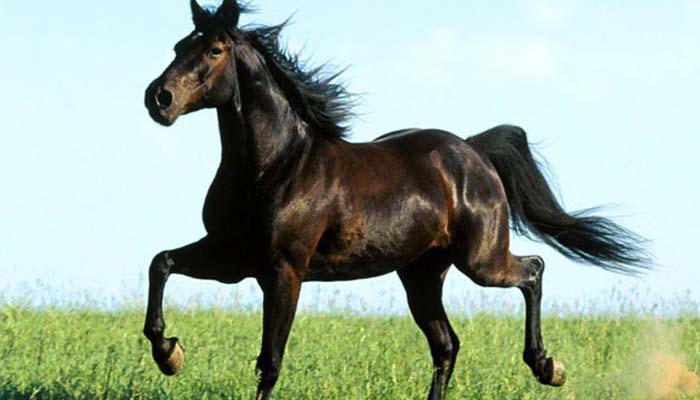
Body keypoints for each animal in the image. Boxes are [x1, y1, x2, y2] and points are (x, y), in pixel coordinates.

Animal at [143, 1, 651, 399]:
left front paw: (172, 354)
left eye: (214, 49)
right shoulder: (232, 258)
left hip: (481, 261)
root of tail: (474, 151)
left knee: (532, 271)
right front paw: (169, 354)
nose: (158, 99)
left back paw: (548, 367)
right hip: (422, 274)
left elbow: (270, 362)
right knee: (446, 345)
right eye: (177, 47)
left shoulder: (283, 270)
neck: (276, 166)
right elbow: (161, 263)